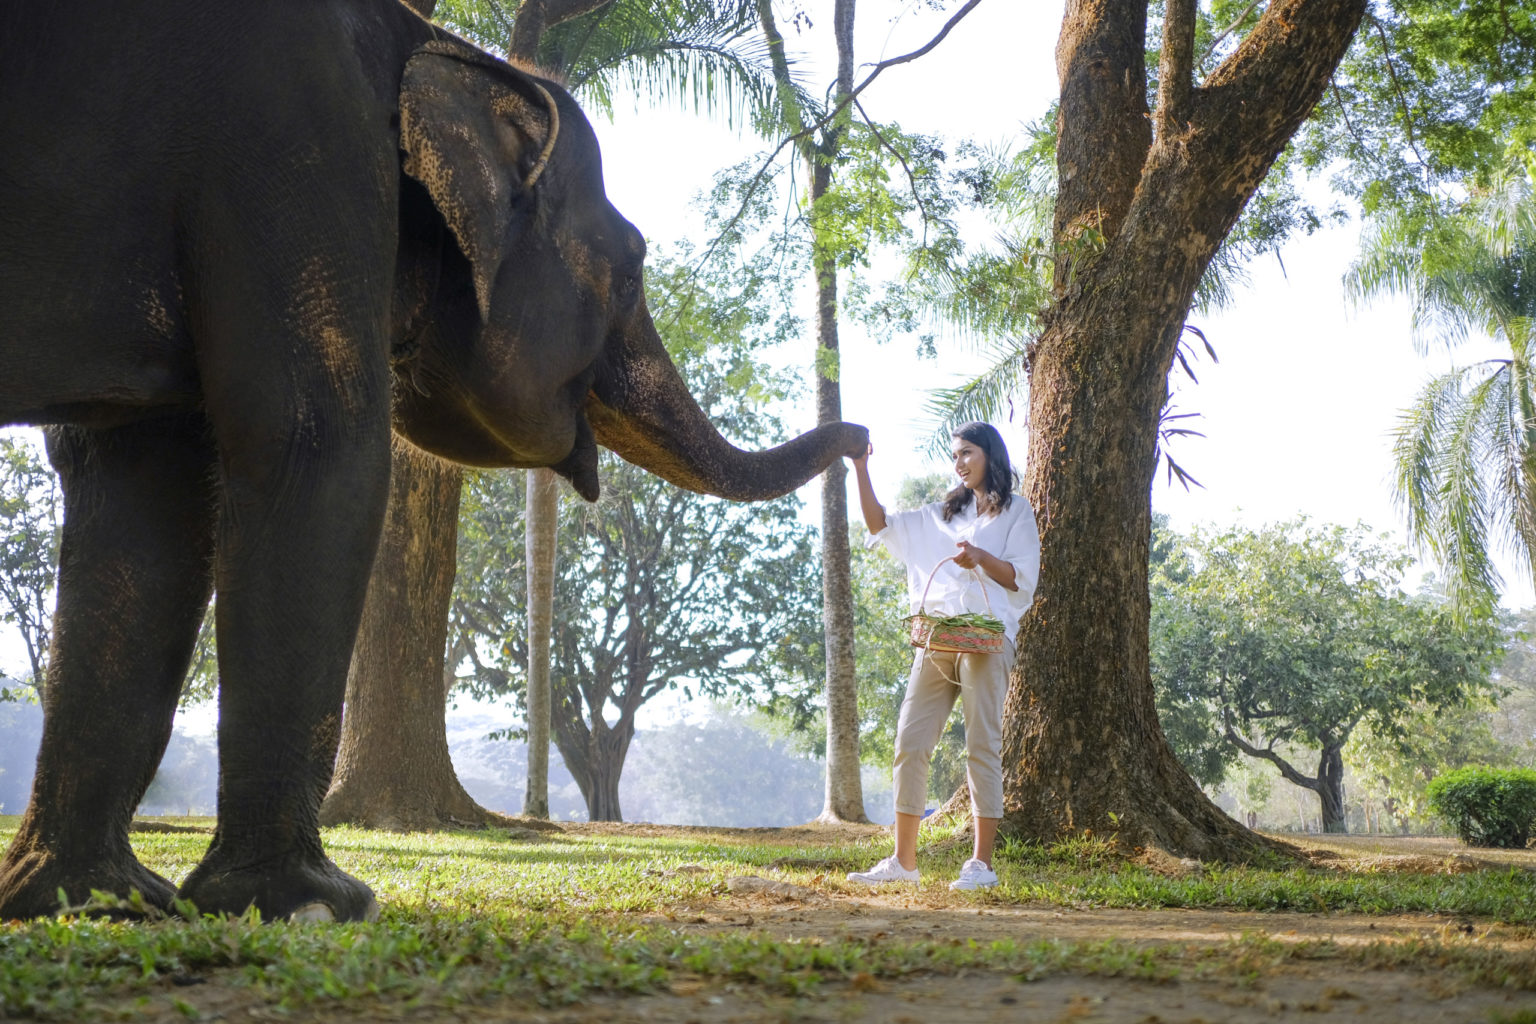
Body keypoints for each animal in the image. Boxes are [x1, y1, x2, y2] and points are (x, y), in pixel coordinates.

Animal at [0, 0, 866, 922]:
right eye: (633, 267)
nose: (863, 439)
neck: (431, 42)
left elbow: (141, 489)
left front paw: (91, 900)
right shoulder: (296, 148)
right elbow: (312, 442)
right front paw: (314, 902)